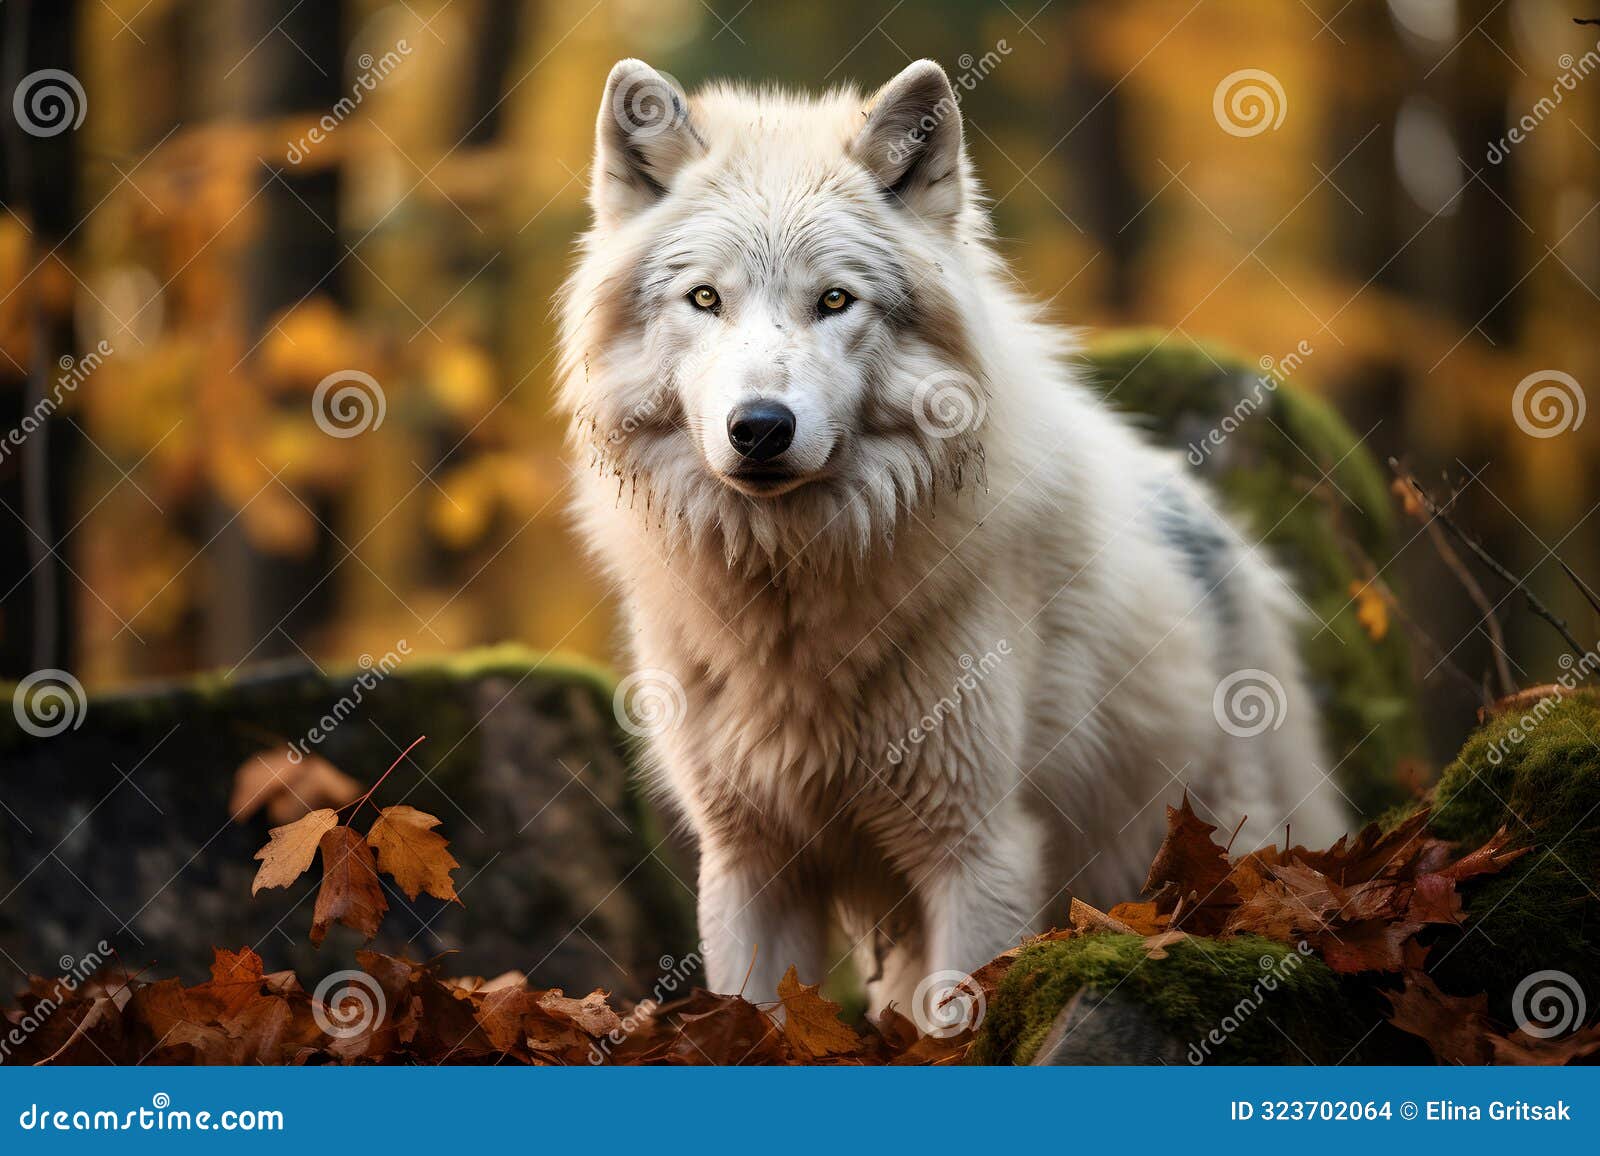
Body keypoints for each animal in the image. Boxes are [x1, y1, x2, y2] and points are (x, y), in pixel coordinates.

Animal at [557, 58, 1348, 1021]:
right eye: (704, 299)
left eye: (834, 300)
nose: (761, 428)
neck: (793, 603)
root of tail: (1227, 540)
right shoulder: (748, 862)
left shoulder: (980, 851)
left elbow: (952, 1024)